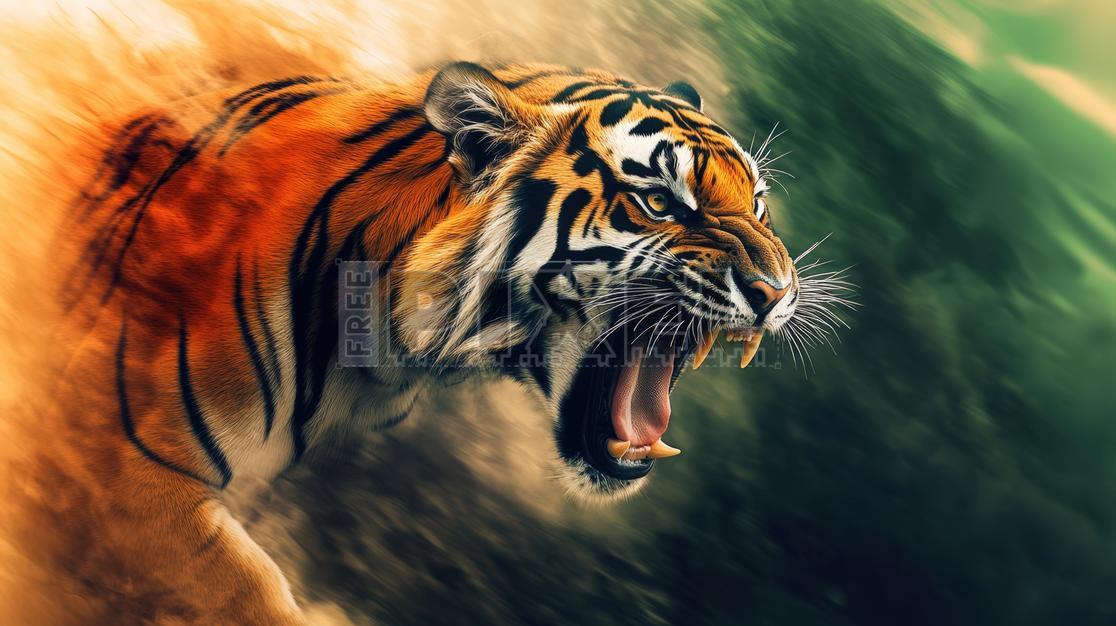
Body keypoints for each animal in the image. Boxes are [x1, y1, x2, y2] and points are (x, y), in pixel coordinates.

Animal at [9, 62, 801, 624]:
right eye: (659, 201)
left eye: (759, 203)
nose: (777, 291)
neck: (388, 356)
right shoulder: (115, 464)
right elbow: (244, 590)